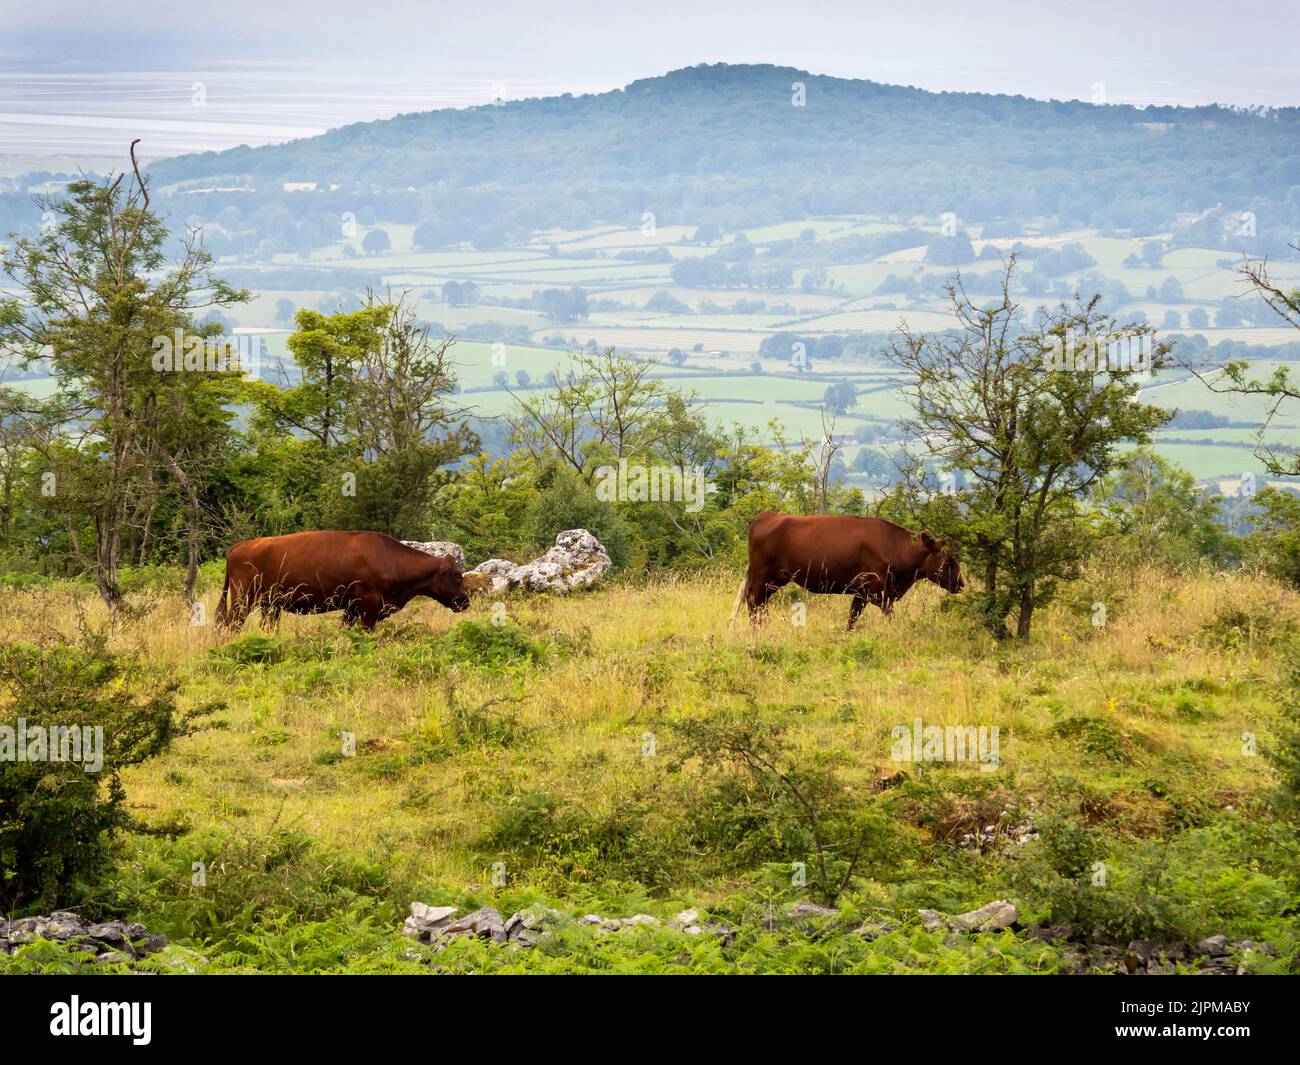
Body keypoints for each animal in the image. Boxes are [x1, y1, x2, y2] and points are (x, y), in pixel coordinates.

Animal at [215, 530, 471, 632]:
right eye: (457, 575)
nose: (465, 601)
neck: (390, 559)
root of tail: (239, 547)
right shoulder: (368, 607)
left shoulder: (351, 609)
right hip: (243, 600)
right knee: (231, 624)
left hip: (270, 606)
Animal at [729, 511, 964, 630]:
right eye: (948, 560)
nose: (961, 583)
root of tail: (765, 516)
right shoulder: (878, 591)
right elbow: (889, 616)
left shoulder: (862, 592)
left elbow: (852, 617)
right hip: (762, 575)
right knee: (754, 601)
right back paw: (758, 629)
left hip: (776, 579)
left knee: (760, 603)